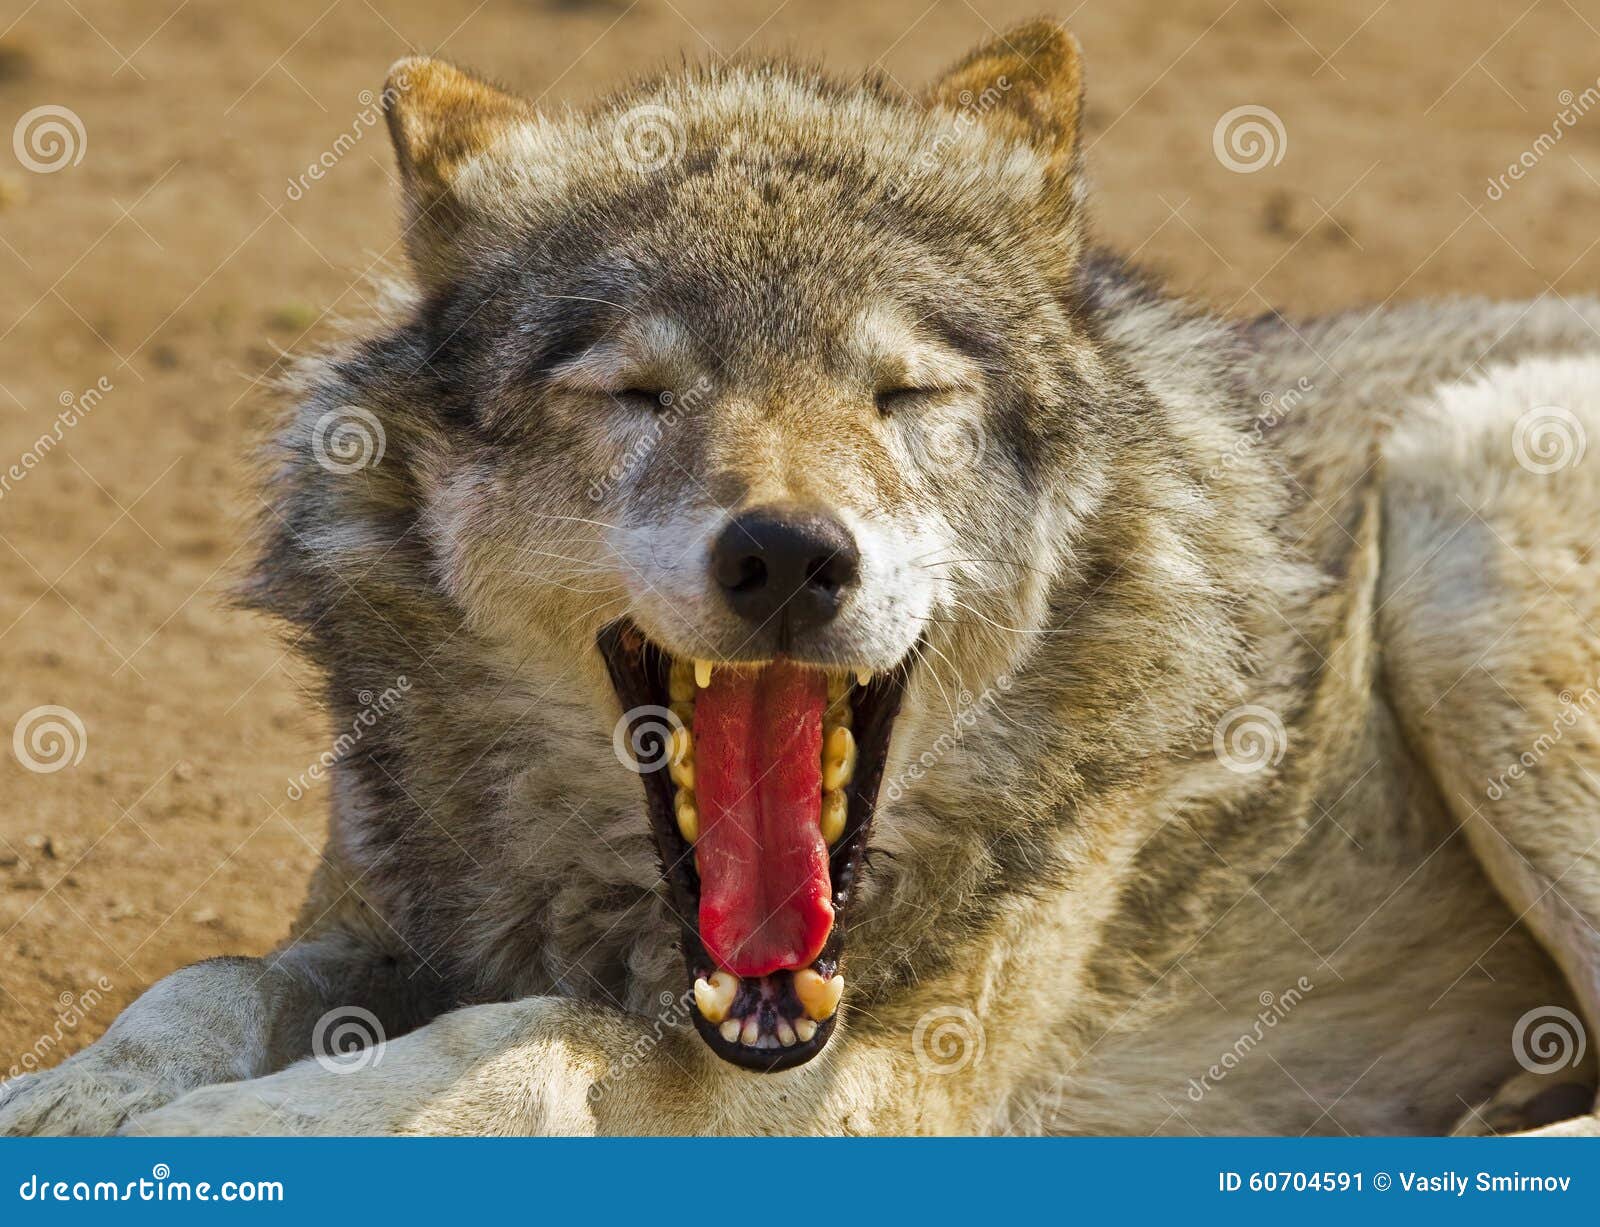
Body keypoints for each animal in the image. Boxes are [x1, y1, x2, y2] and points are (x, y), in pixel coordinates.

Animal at [5, 19, 1600, 1136]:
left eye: (902, 394)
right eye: (637, 393)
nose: (788, 554)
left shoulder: (886, 1078)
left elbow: (530, 1041)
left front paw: (211, 1129)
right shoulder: (367, 916)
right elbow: (219, 977)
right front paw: (89, 1091)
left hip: (1468, 497)